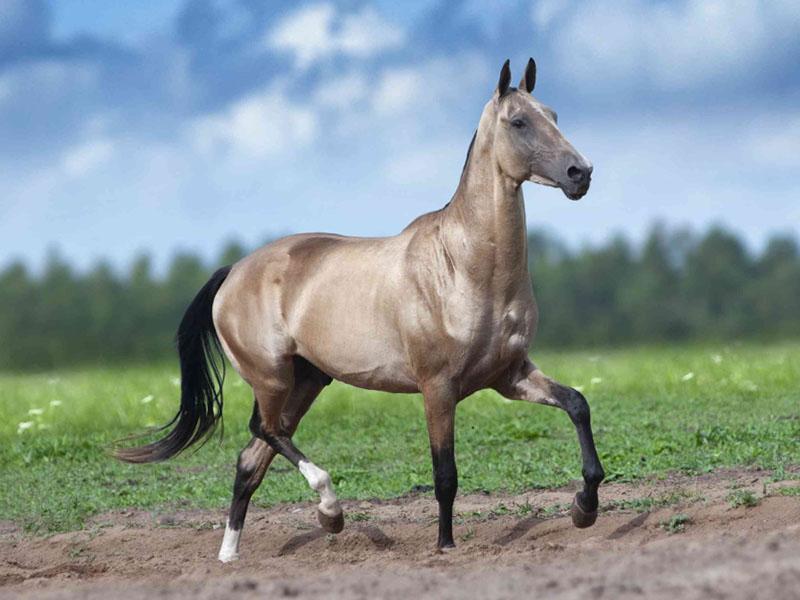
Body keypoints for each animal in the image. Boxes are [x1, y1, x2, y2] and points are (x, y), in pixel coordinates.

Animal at [117, 58, 605, 563]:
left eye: (554, 114)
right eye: (519, 121)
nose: (580, 173)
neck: (465, 267)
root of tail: (233, 272)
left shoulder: (509, 375)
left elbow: (578, 404)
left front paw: (584, 508)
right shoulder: (438, 388)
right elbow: (445, 474)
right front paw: (445, 545)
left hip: (307, 380)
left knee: (251, 458)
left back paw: (232, 555)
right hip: (271, 378)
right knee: (263, 429)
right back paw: (330, 512)